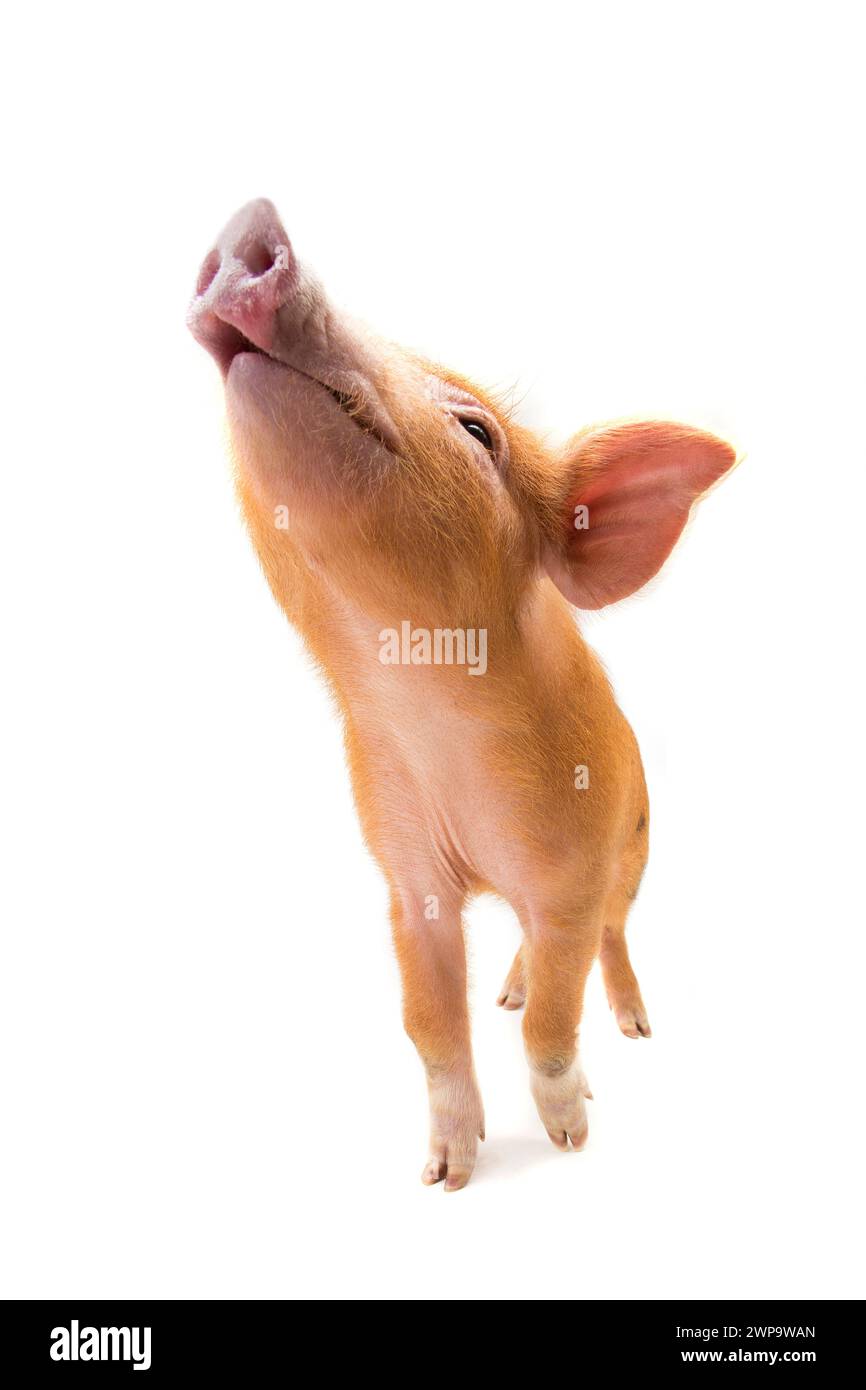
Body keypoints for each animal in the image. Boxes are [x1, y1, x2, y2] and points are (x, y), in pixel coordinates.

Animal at [188, 198, 736, 1191]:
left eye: (479, 433)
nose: (252, 221)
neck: (427, 716)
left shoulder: (573, 871)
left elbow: (557, 1018)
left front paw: (572, 1135)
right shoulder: (407, 877)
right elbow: (430, 1024)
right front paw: (443, 1175)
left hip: (639, 845)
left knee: (611, 938)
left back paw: (636, 1027)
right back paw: (509, 990)